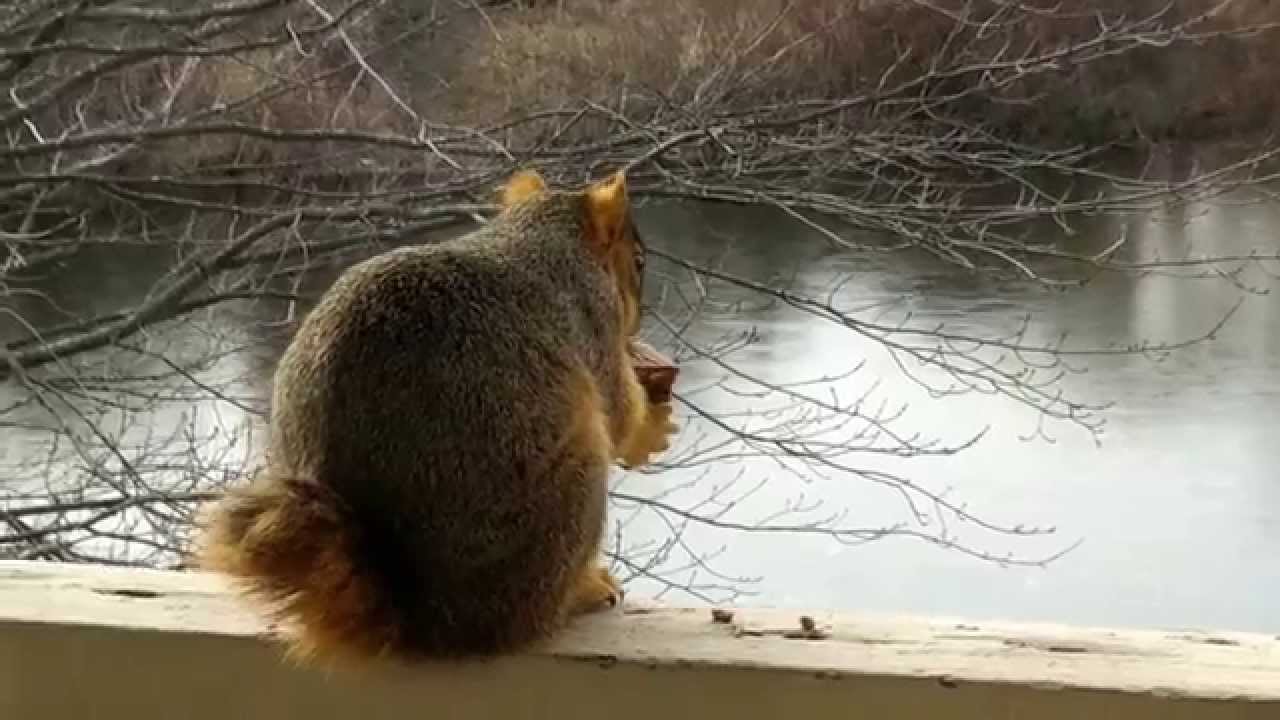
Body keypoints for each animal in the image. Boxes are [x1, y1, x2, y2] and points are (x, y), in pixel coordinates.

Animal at [194, 168, 677, 665]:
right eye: (638, 262)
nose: (639, 323)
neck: (549, 234)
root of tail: (423, 614)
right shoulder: (593, 322)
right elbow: (620, 413)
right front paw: (651, 426)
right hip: (570, 484)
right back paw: (584, 591)